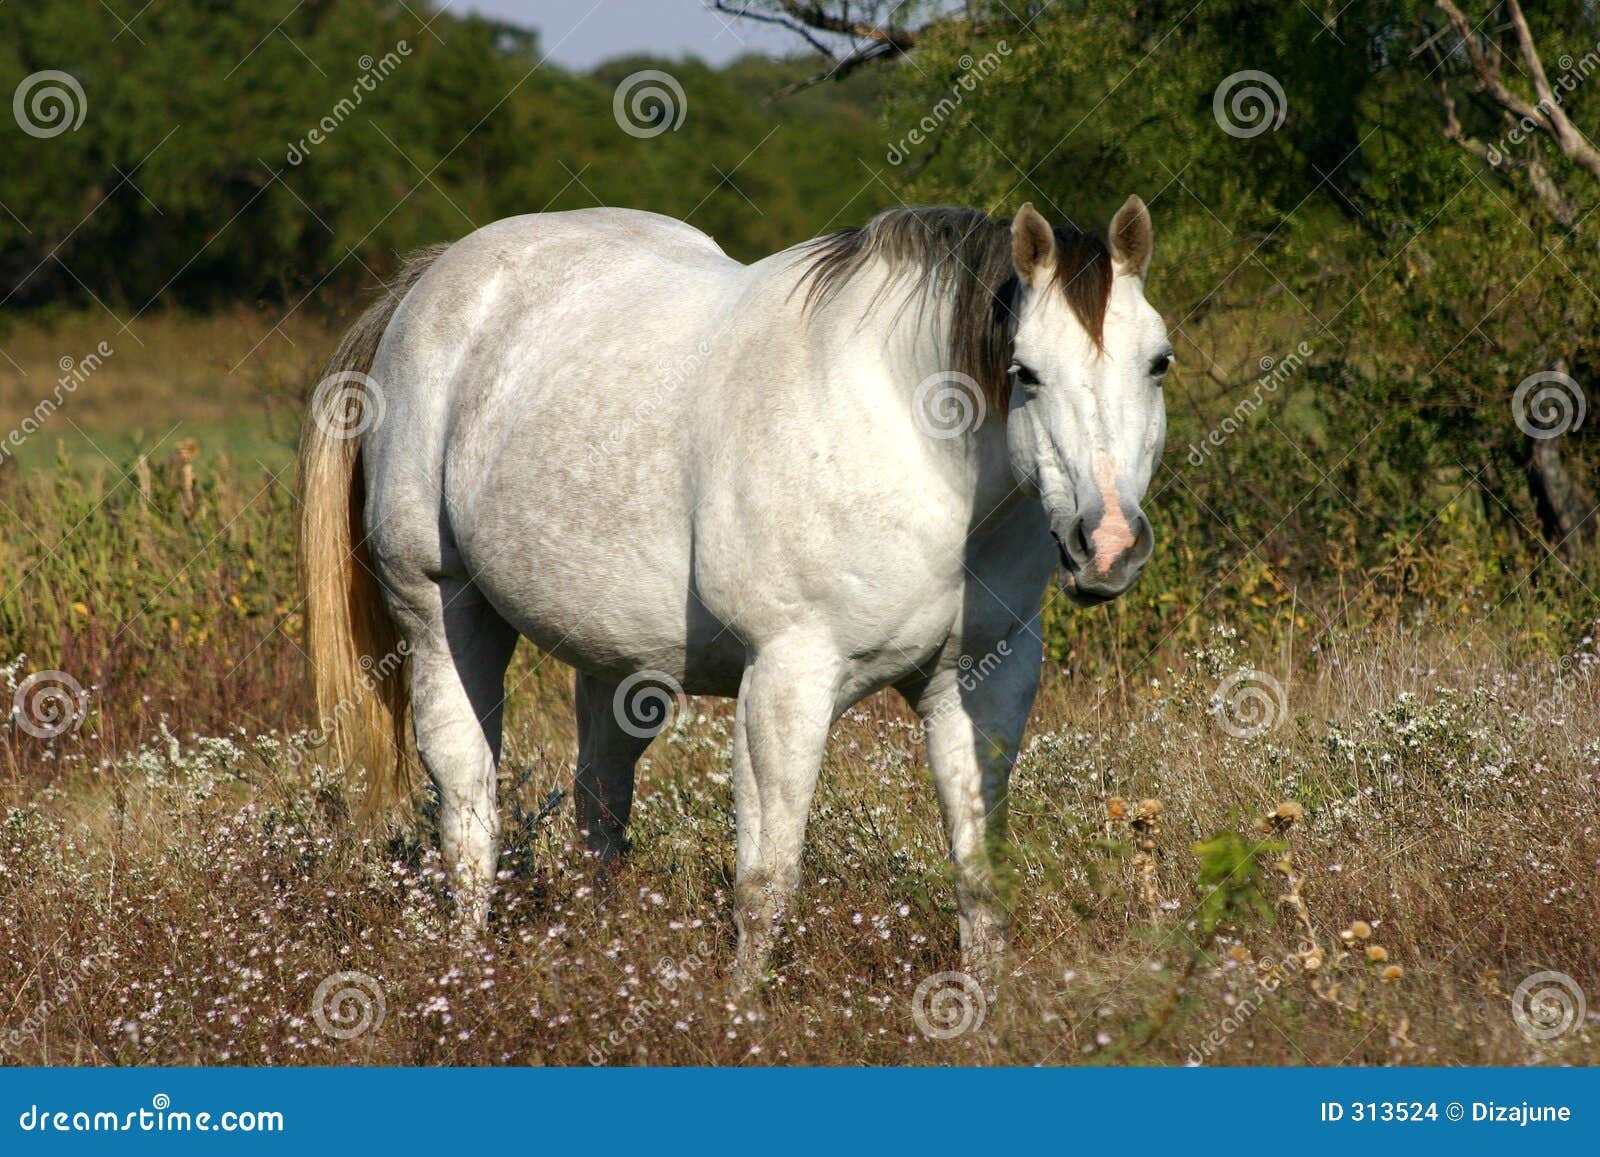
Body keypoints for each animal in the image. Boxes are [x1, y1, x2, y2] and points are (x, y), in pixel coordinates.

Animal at [297, 198, 1170, 988]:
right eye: (1025, 372)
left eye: (1157, 361)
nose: (1108, 544)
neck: (913, 437)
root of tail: (429, 281)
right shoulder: (787, 679)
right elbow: (766, 881)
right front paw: (746, 1016)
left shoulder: (982, 682)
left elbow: (980, 874)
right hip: (442, 612)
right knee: (469, 808)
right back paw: (466, 968)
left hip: (618, 660)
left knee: (600, 801)